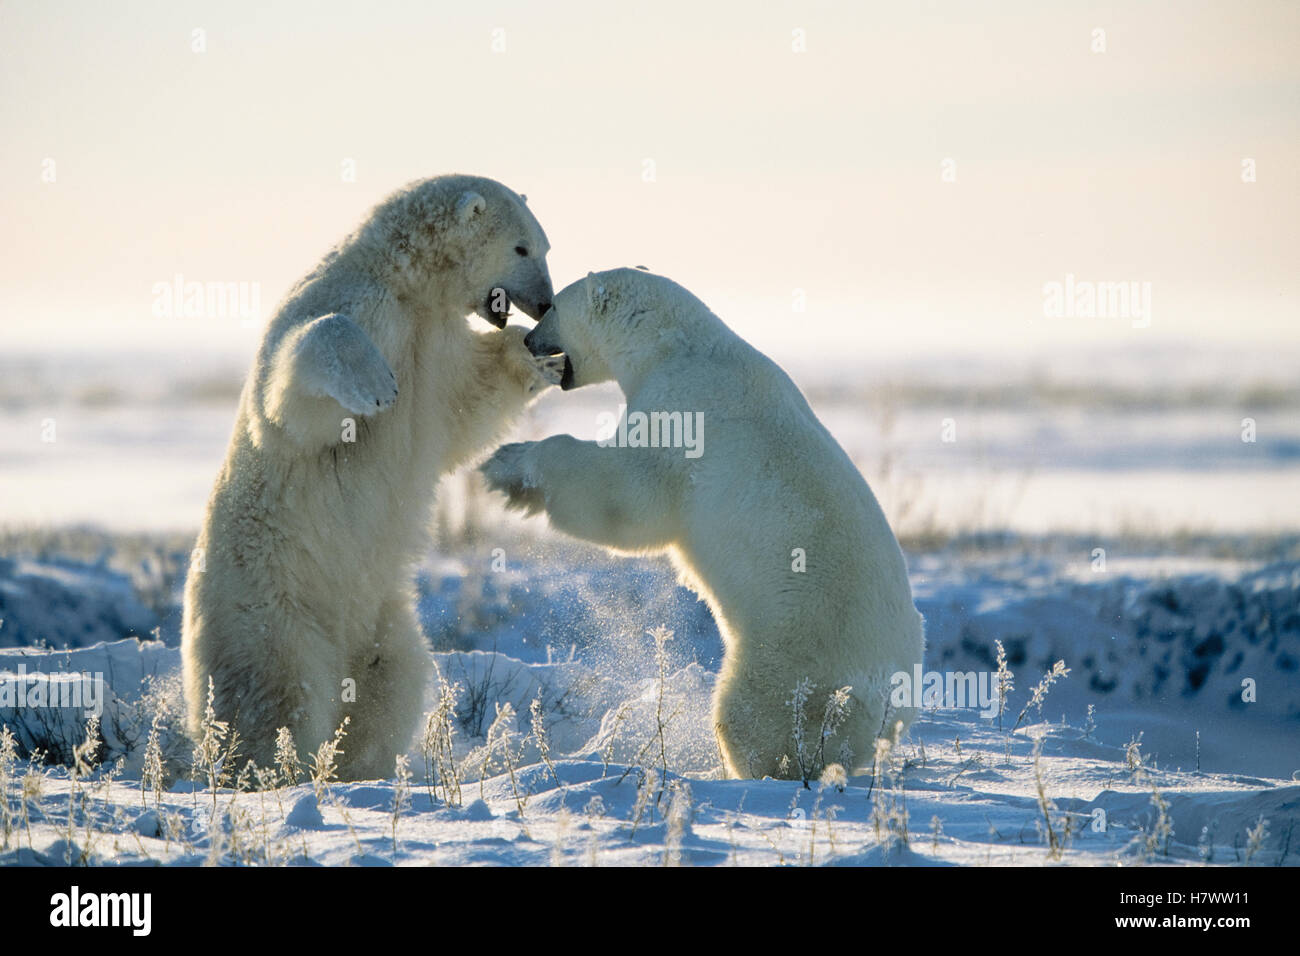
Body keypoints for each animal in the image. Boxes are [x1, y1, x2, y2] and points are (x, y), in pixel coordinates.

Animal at [181, 174, 561, 780]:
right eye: (523, 248)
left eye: (544, 246)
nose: (546, 302)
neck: (405, 284)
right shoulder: (357, 304)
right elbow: (297, 403)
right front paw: (376, 384)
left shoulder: (435, 345)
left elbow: (464, 406)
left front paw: (539, 356)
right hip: (270, 605)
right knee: (277, 693)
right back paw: (272, 769)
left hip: (384, 620)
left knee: (390, 684)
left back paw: (360, 768)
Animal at [479, 267, 924, 780]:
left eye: (552, 307)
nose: (528, 339)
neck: (672, 344)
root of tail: (894, 697)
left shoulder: (680, 408)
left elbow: (631, 495)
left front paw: (507, 465)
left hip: (797, 650)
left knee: (755, 714)